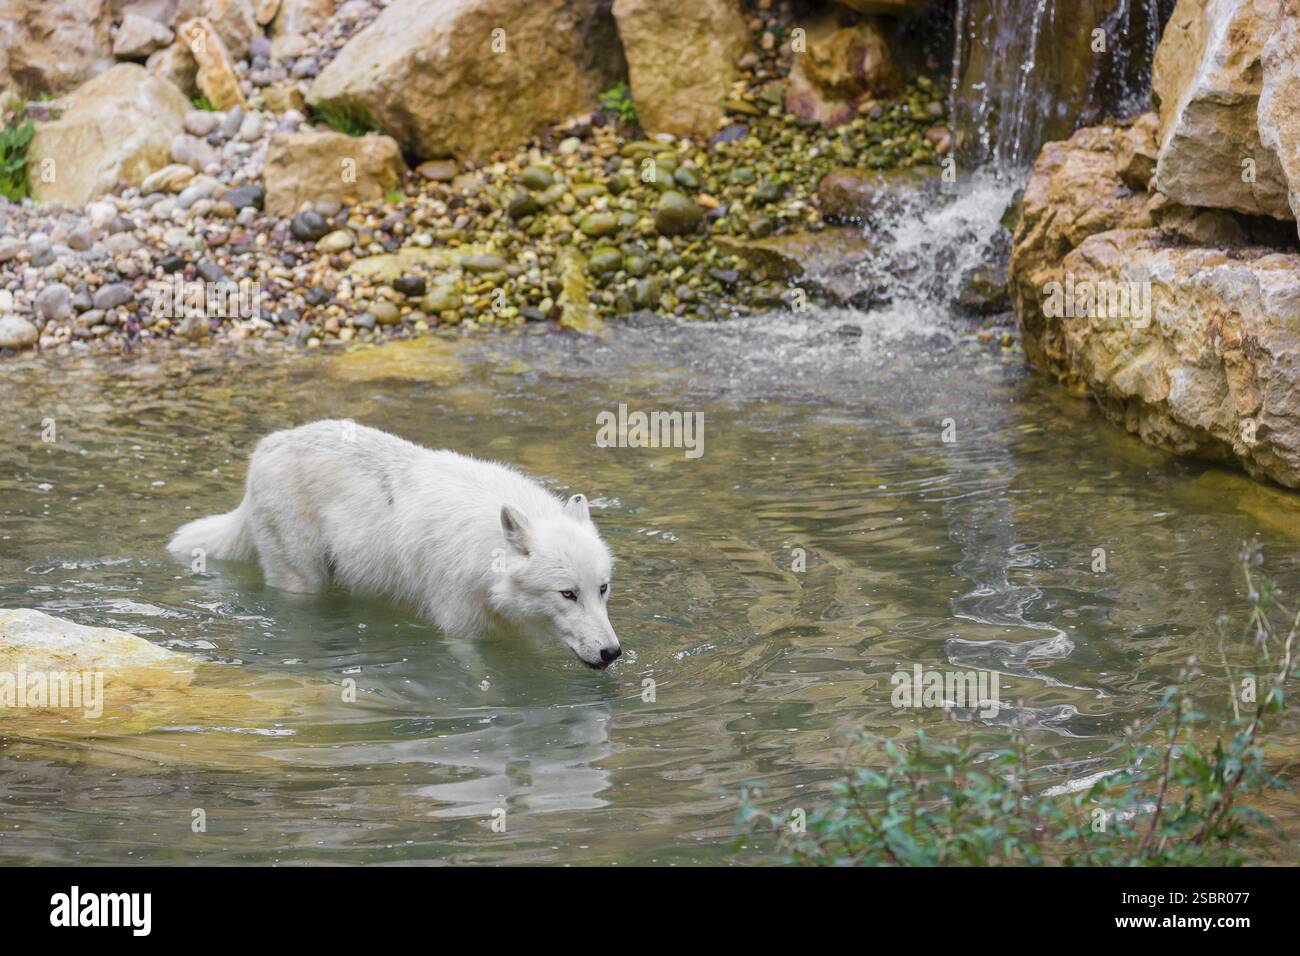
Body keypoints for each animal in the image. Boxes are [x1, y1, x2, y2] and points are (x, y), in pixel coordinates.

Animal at [167, 420, 621, 669]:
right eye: (567, 594)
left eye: (602, 589)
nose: (612, 652)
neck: (484, 550)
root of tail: (267, 446)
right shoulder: (459, 628)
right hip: (302, 577)